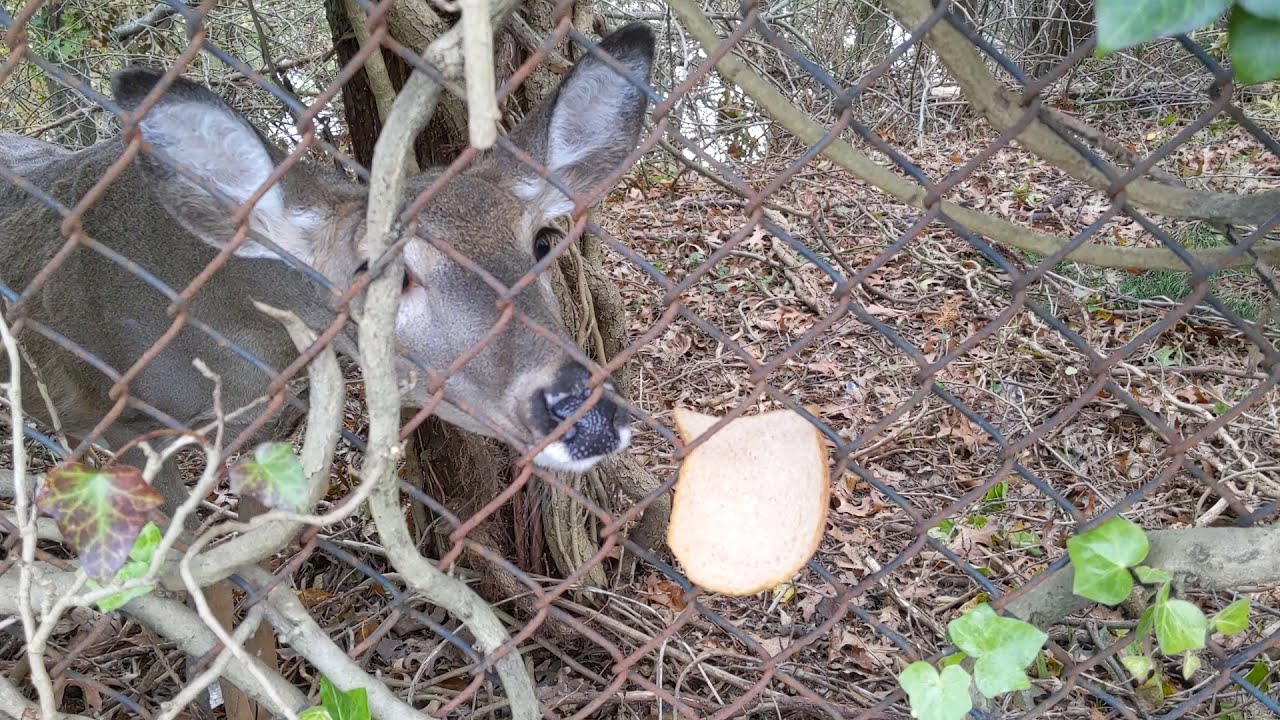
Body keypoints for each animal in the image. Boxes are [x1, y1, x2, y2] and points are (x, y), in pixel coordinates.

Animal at [0, 21, 655, 719]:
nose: (584, 413)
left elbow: (255, 588)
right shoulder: (120, 423)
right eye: (379, 273)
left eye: (542, 242)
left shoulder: (264, 429)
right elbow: (198, 578)